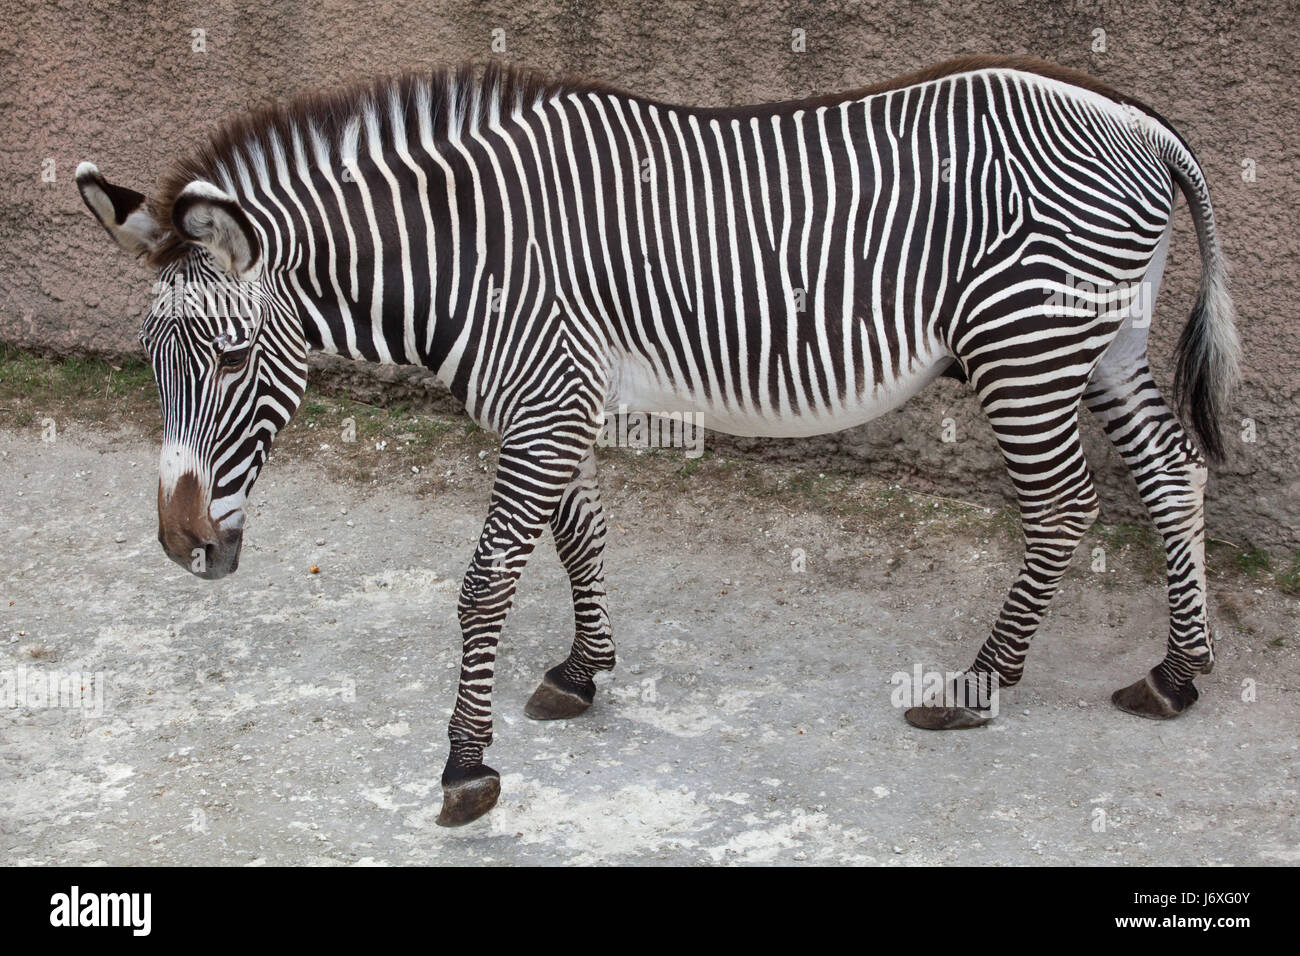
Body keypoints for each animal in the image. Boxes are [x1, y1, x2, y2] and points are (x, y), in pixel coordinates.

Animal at [76, 55, 1239, 826]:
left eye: (232, 361)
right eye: (150, 360)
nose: (181, 545)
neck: (469, 257)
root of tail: (1142, 124)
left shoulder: (544, 402)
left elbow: (486, 581)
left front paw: (465, 765)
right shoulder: (554, 403)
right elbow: (579, 535)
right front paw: (582, 670)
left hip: (1027, 344)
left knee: (1066, 504)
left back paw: (979, 685)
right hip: (1103, 337)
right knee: (1174, 474)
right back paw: (1177, 674)